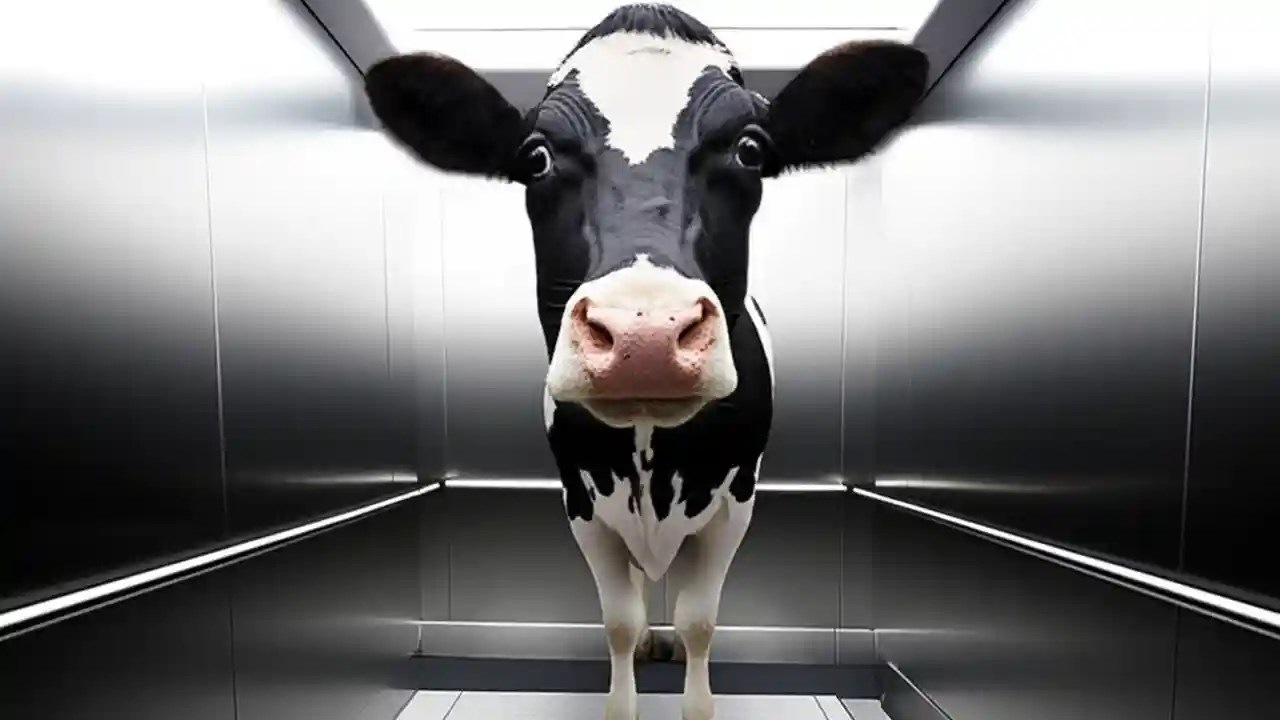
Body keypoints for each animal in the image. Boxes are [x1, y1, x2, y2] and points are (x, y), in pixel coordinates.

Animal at [365, 5, 926, 718]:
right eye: (536, 158)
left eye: (750, 150)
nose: (646, 335)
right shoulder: (580, 500)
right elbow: (620, 621)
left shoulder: (736, 502)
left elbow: (699, 620)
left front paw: (693, 685)